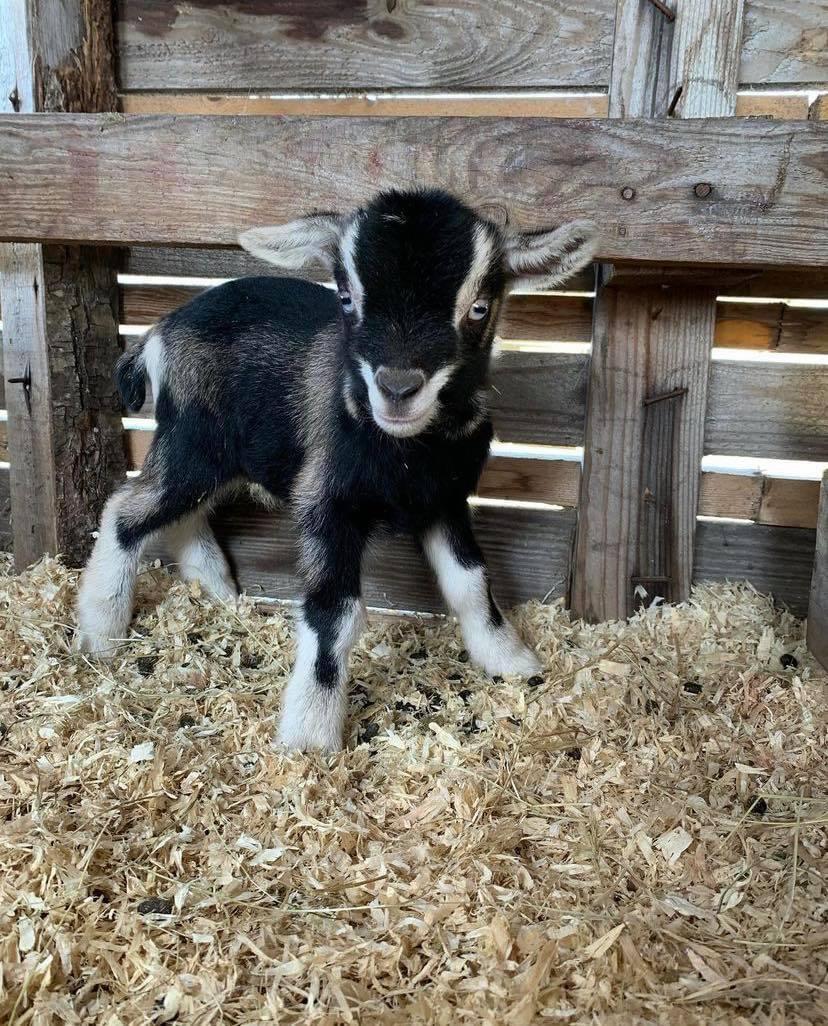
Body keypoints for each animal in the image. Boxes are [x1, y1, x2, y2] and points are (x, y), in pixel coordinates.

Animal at [77, 188, 596, 751]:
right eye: (346, 298)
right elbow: (336, 614)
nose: (397, 388)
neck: (407, 453)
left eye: (479, 308)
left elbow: (471, 582)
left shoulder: (445, 499)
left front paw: (510, 659)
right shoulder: (326, 503)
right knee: (127, 509)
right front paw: (310, 733)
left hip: (217, 458)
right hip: (194, 444)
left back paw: (217, 594)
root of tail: (159, 332)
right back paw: (100, 631)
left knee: (181, 513)